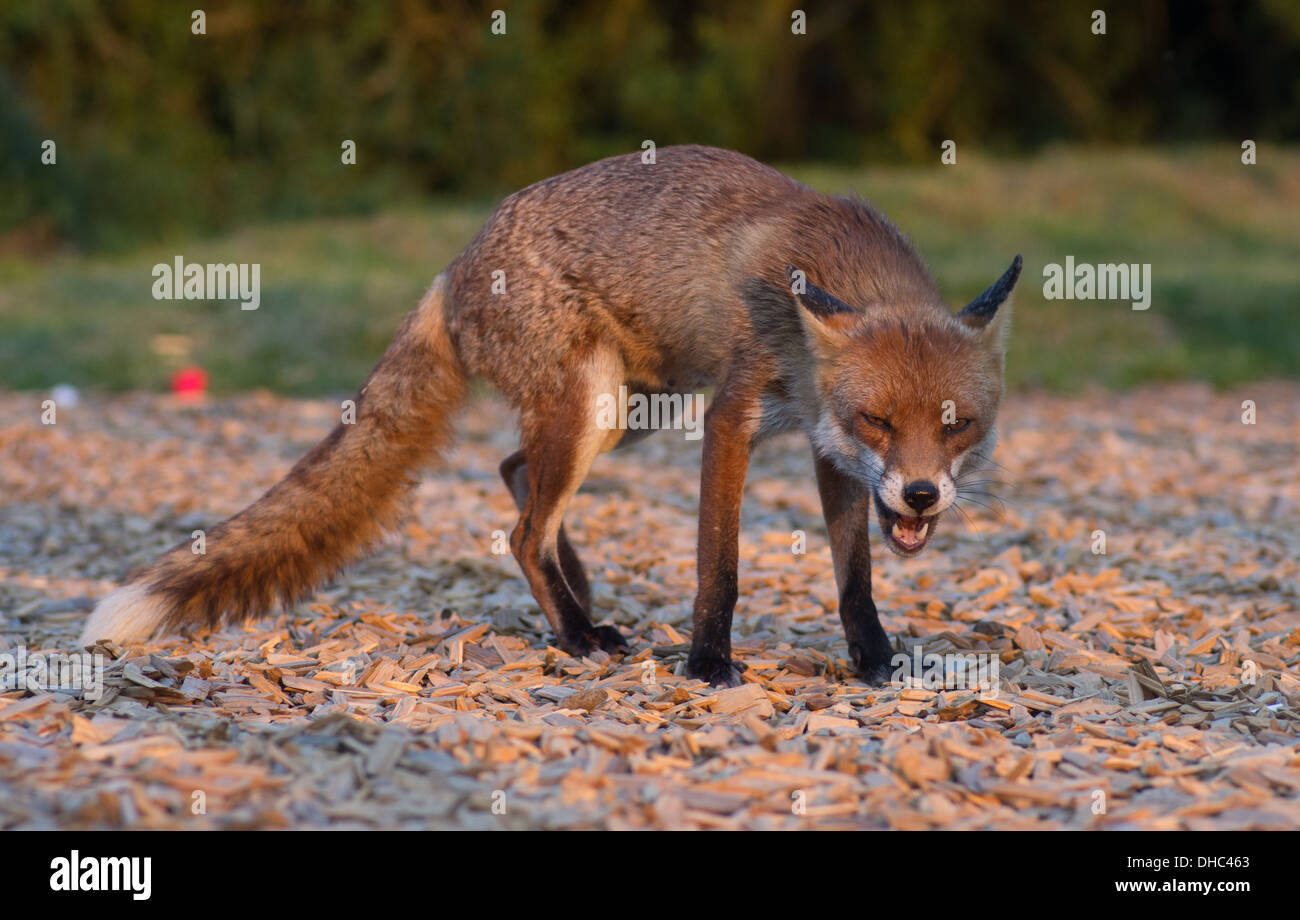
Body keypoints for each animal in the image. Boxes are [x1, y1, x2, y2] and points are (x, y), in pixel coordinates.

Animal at [79, 145, 1021, 687]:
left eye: (957, 426)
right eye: (879, 421)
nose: (922, 496)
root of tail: (455, 265)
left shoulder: (826, 449)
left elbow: (854, 577)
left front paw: (874, 660)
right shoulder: (734, 417)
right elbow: (719, 566)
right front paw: (708, 662)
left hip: (630, 410)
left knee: (516, 475)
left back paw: (581, 597)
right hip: (598, 405)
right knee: (524, 526)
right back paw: (573, 634)